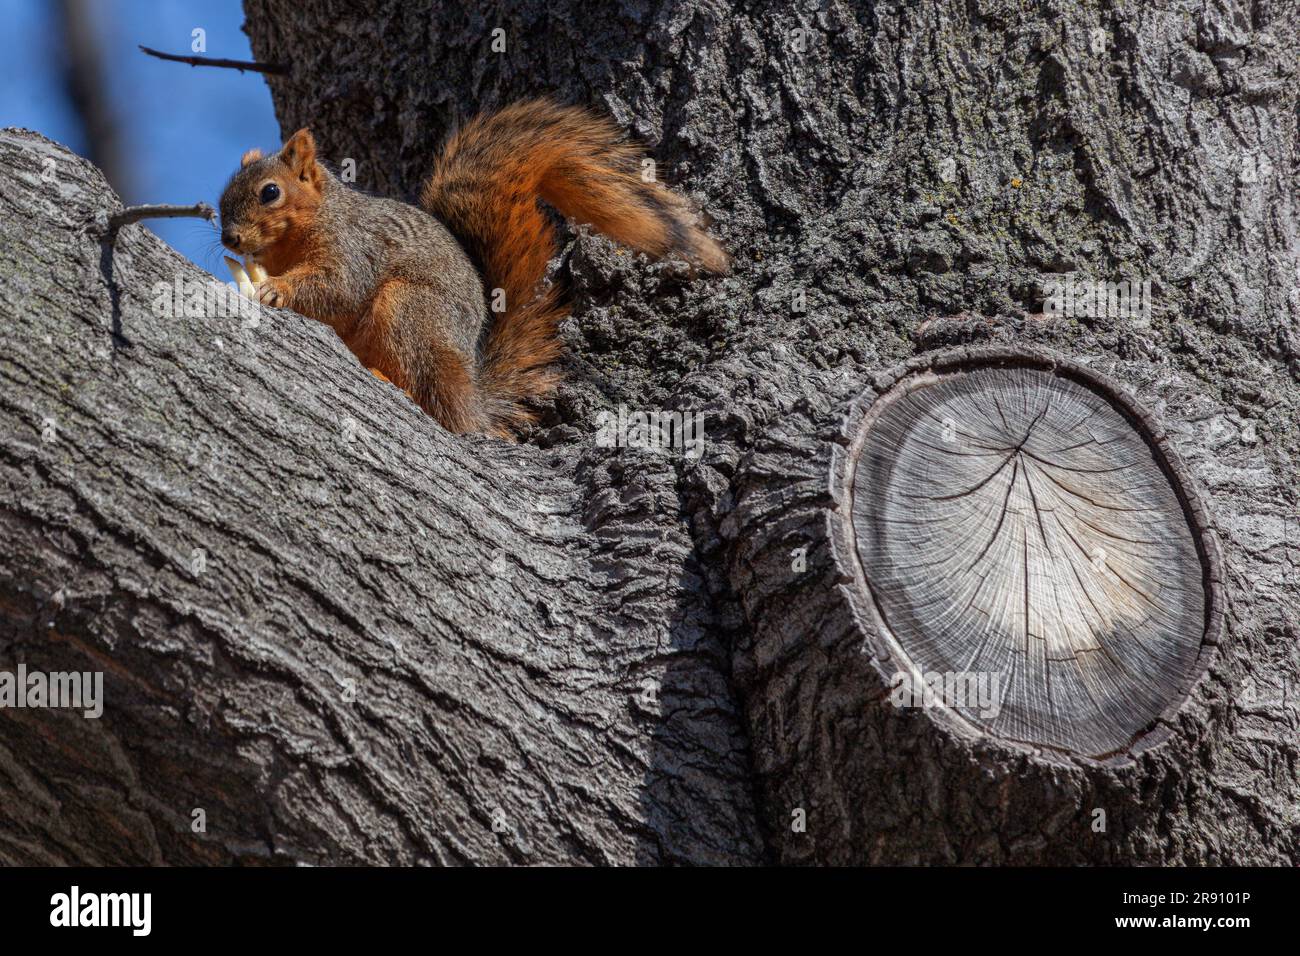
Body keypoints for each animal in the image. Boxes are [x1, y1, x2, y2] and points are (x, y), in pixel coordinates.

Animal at [218, 98, 728, 438]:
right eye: (222, 198)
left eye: (270, 192)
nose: (229, 239)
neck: (303, 231)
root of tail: (472, 393)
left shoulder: (353, 248)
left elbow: (339, 287)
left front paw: (275, 290)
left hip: (410, 310)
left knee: (434, 396)